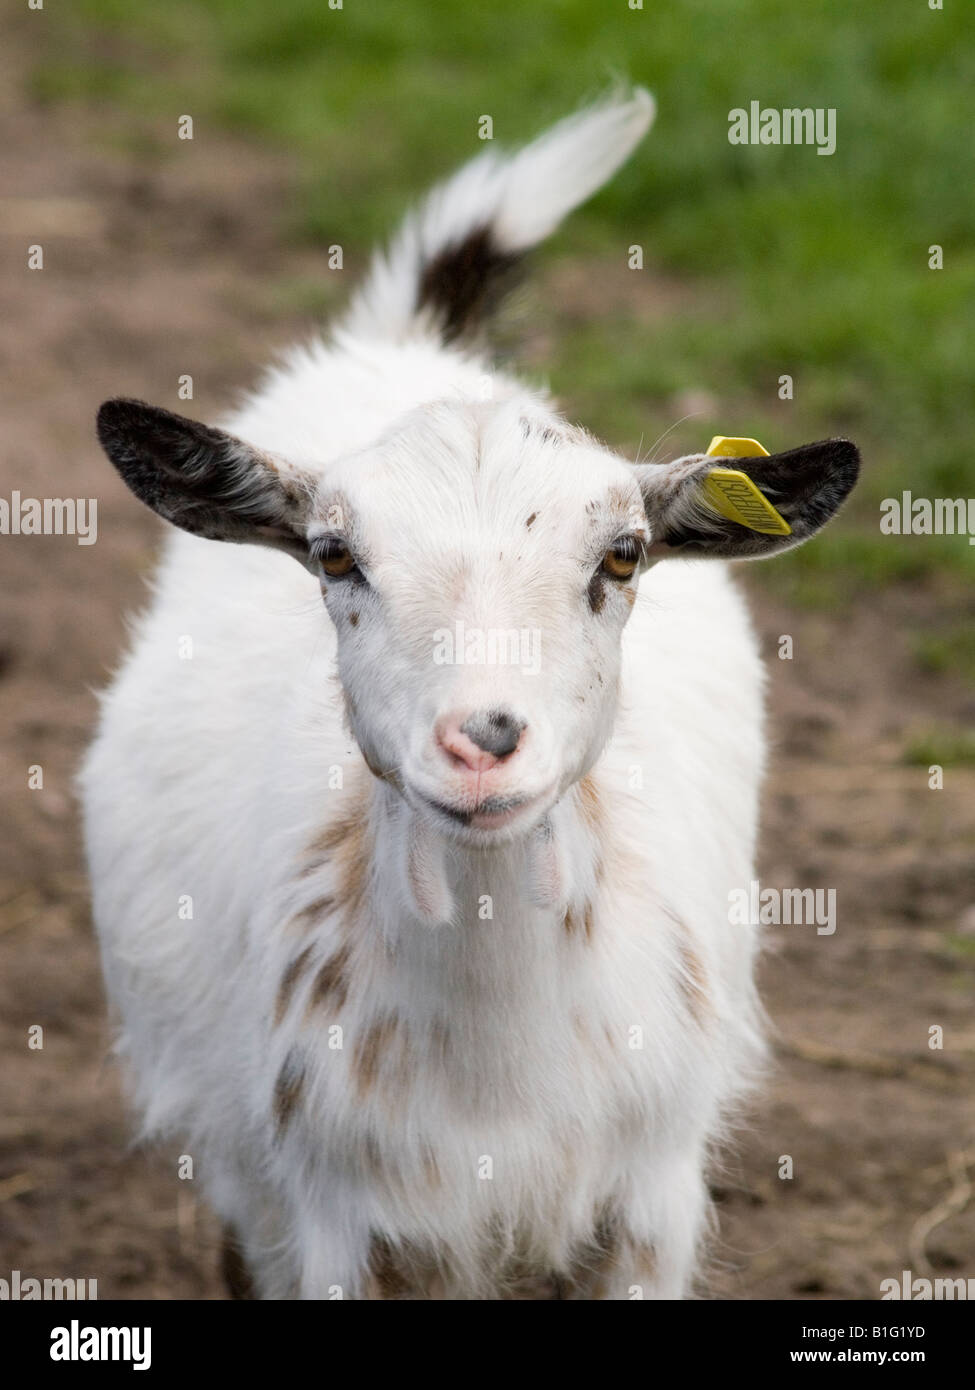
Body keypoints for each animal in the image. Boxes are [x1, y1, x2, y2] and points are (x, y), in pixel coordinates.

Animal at [81, 90, 859, 1299]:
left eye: (624, 556)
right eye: (334, 556)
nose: (484, 742)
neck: (498, 1076)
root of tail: (406, 344)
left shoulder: (647, 1209)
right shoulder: (339, 1220)